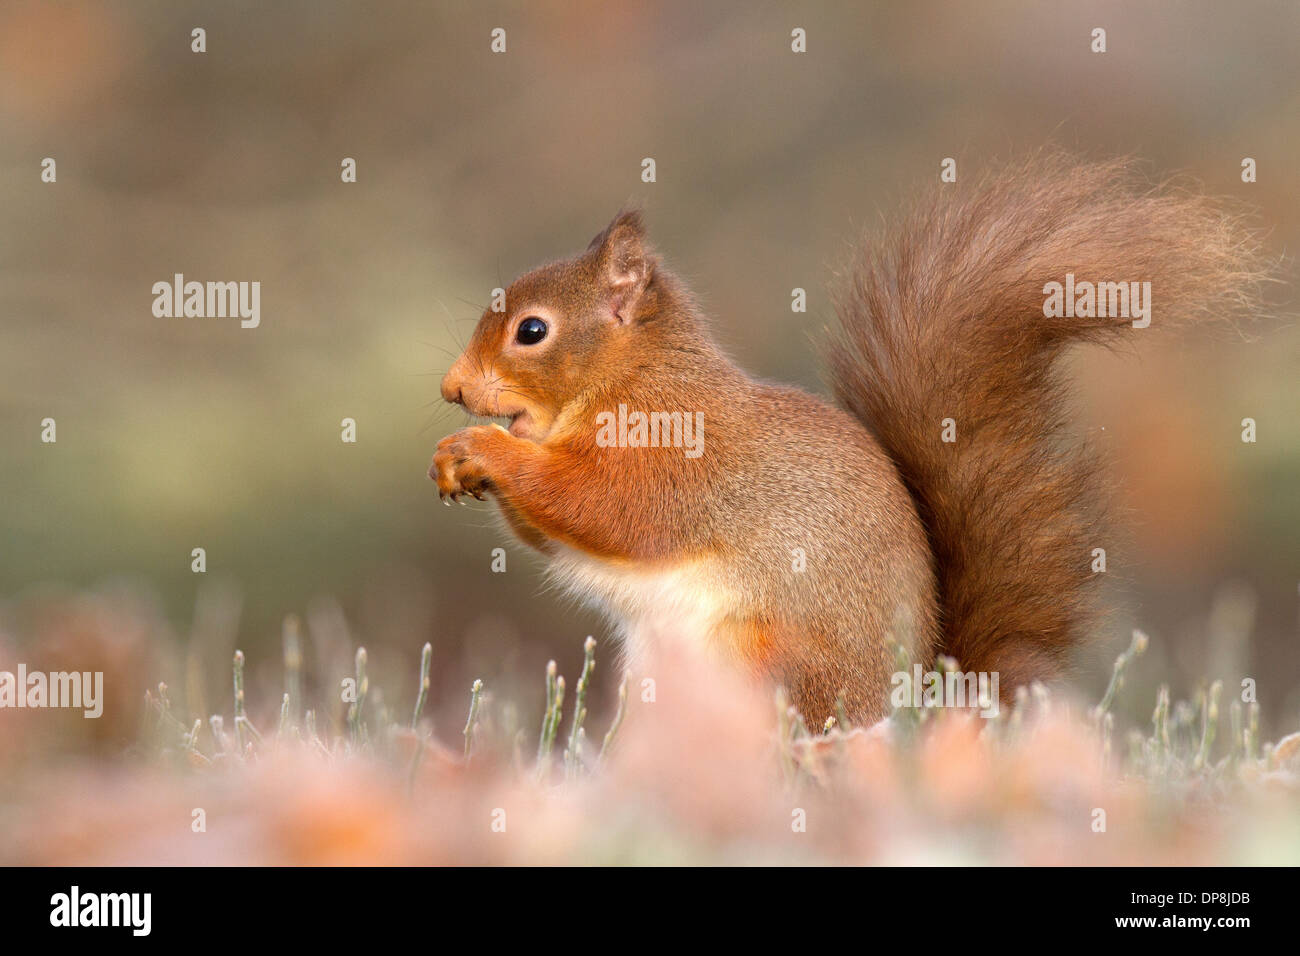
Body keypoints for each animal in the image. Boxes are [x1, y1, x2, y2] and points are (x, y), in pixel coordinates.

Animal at [431, 152, 1270, 725]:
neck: (630, 379)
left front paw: (485, 451)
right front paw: (453, 460)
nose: (452, 389)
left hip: (768, 665)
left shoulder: (673, 456)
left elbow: (603, 508)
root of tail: (913, 714)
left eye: (531, 331)